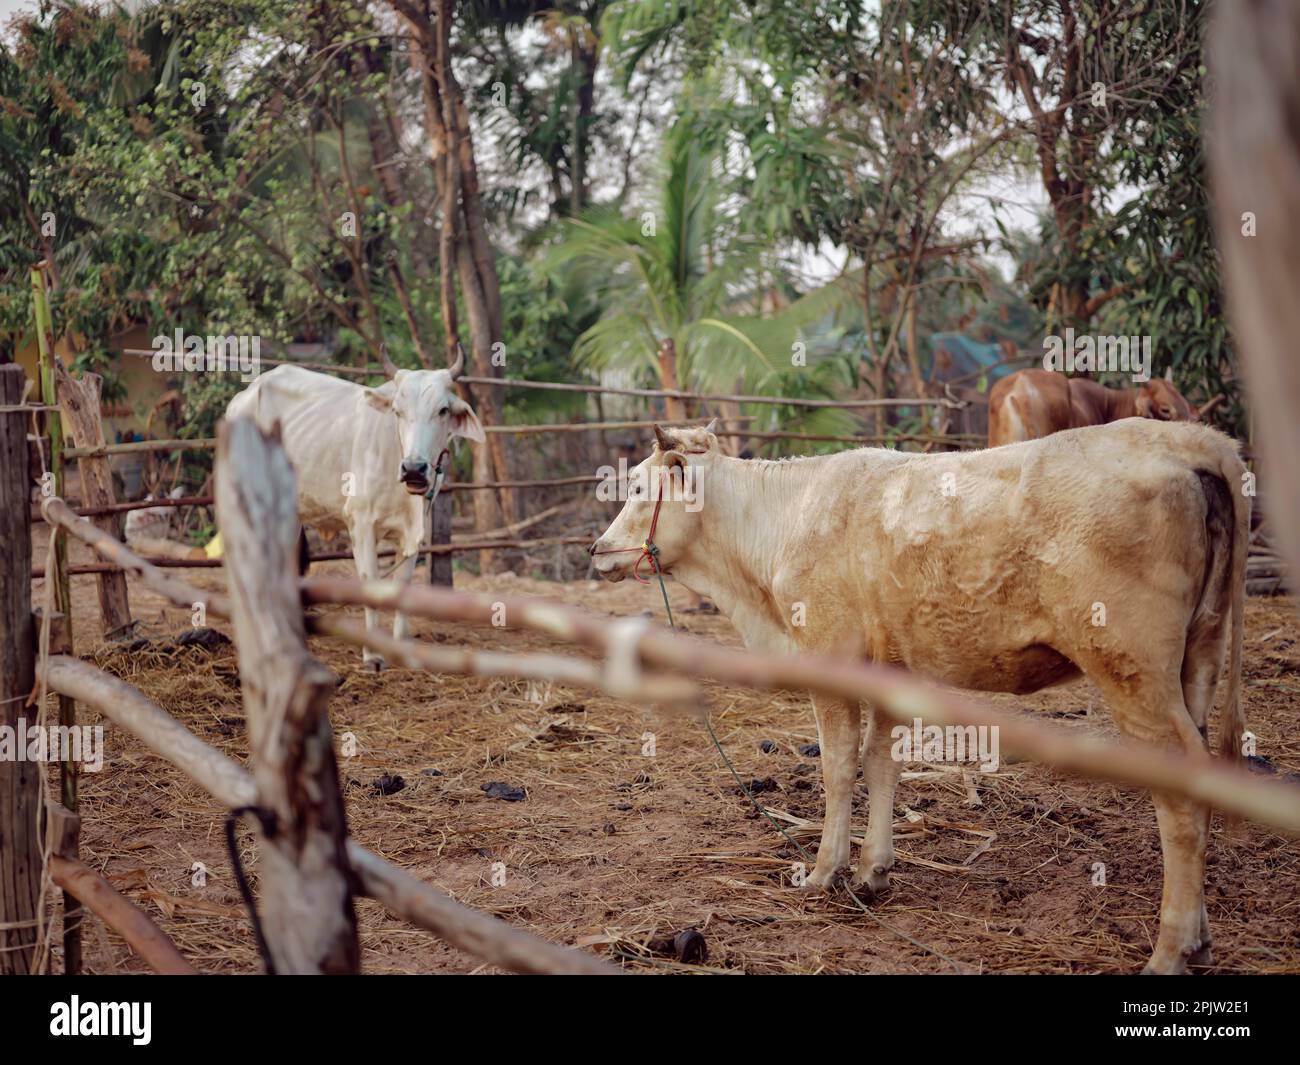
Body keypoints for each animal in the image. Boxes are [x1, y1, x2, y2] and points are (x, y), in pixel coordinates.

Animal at [226, 347, 484, 668]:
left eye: (443, 410)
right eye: (397, 411)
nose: (413, 468)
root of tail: (244, 396)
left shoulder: (413, 532)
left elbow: (404, 585)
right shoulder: (361, 525)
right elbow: (370, 583)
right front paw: (372, 655)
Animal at [590, 417, 1247, 974]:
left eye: (641, 485)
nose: (597, 551)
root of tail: (1189, 440)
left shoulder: (830, 660)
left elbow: (839, 768)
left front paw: (825, 872)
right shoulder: (889, 670)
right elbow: (883, 763)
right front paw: (873, 870)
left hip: (1132, 669)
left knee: (1180, 798)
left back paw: (1169, 951)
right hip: (1198, 662)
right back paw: (1200, 941)